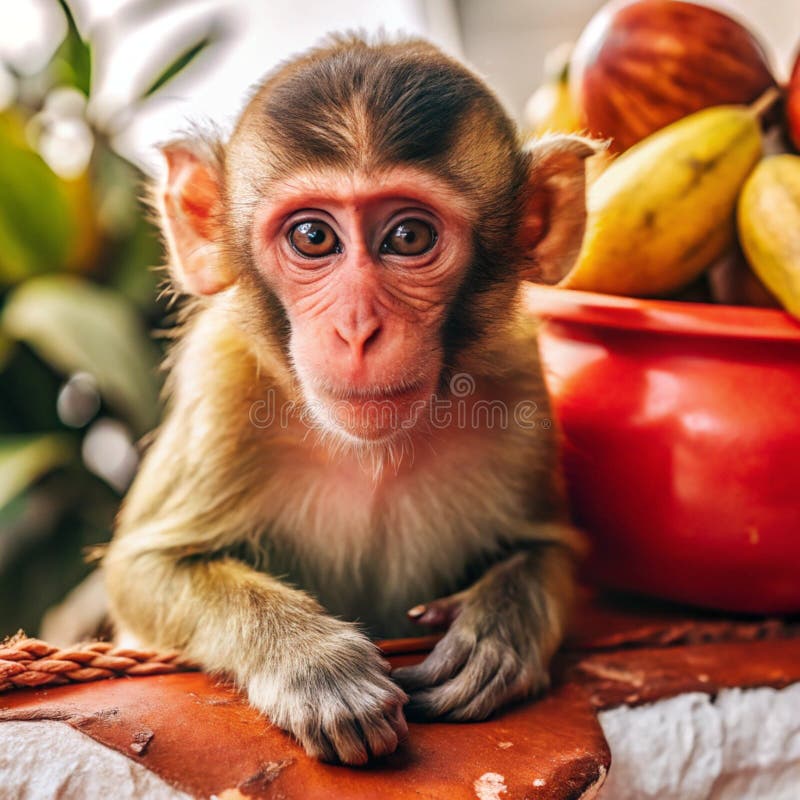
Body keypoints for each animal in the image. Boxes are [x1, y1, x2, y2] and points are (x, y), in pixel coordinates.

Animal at [103, 35, 596, 766]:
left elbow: (551, 549)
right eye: (313, 238)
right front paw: (312, 663)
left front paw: (494, 632)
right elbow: (142, 570)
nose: (359, 328)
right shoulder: (222, 392)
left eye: (409, 237)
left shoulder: (520, 388)